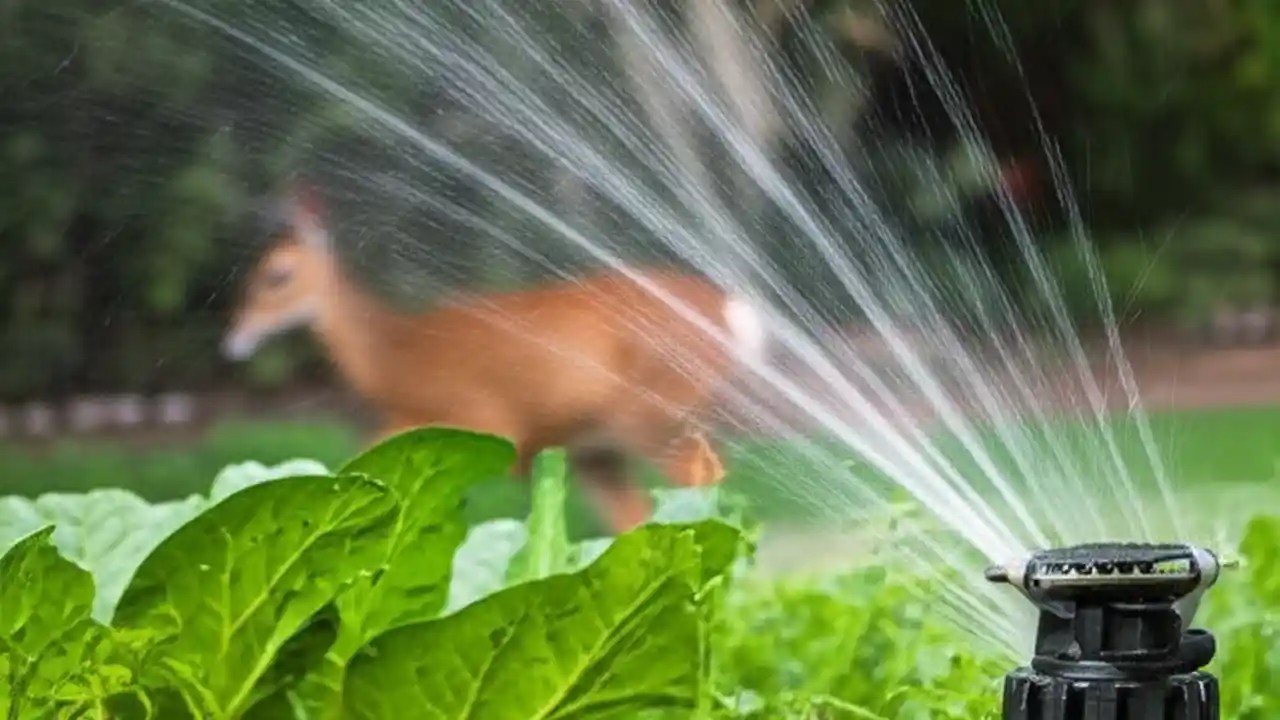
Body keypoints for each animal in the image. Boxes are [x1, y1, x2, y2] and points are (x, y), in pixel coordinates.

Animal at [222, 193, 768, 532]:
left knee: (704, 480)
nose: (235, 340)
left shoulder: (484, 423)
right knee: (644, 514)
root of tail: (734, 312)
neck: (396, 358)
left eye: (276, 275)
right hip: (608, 442)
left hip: (653, 417)